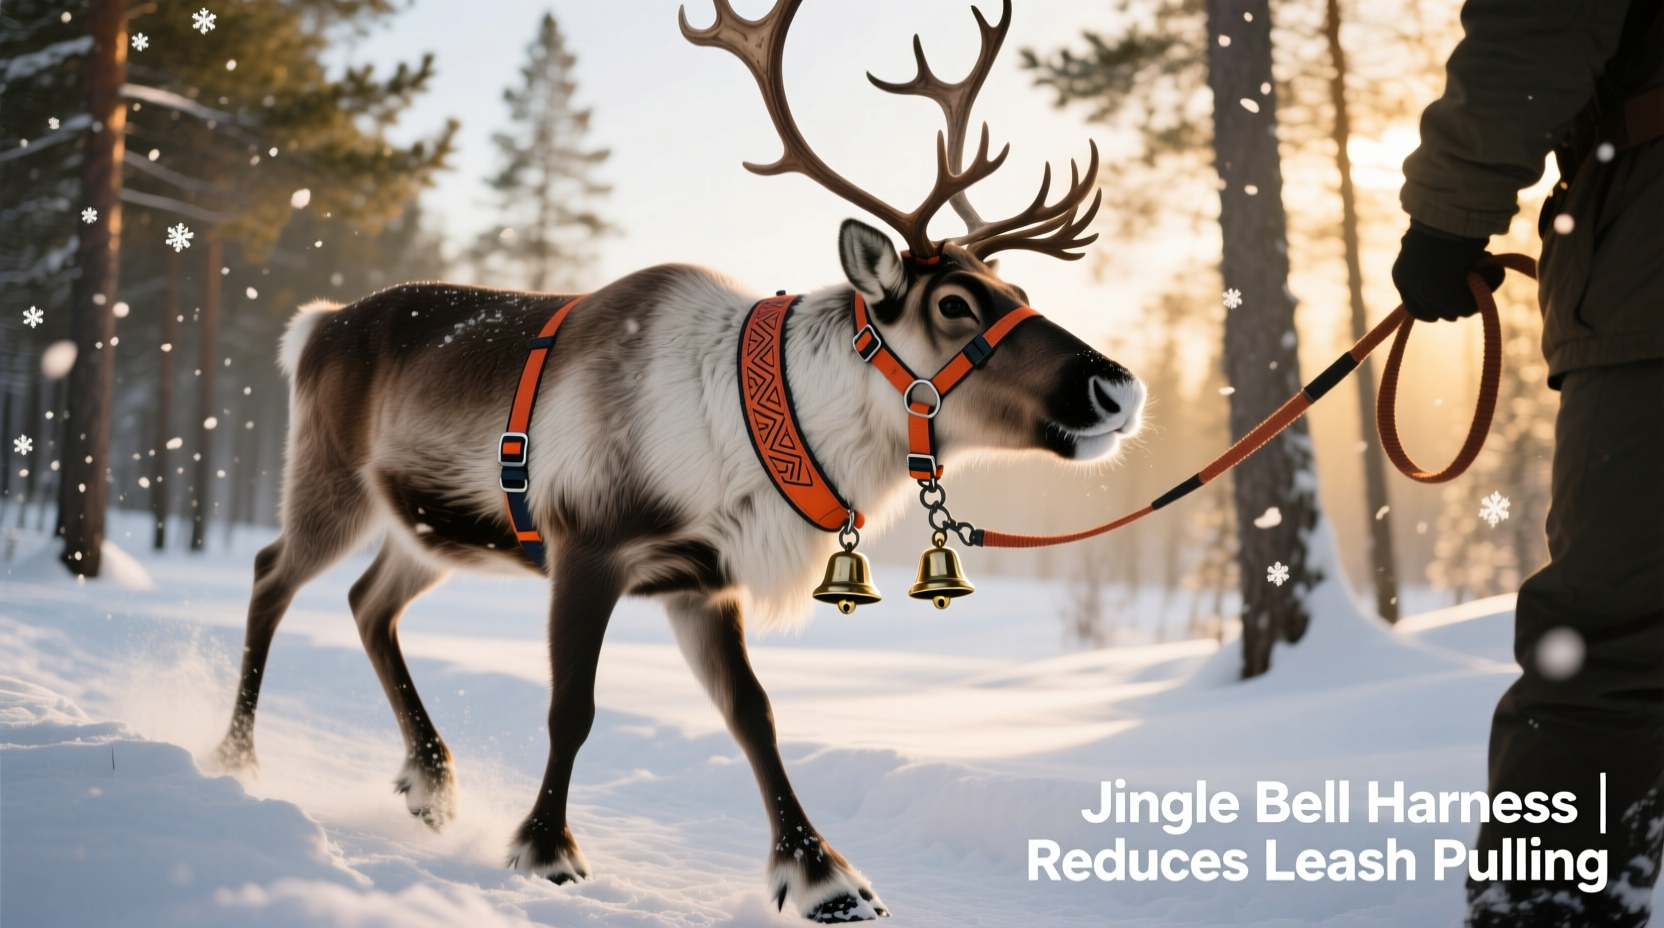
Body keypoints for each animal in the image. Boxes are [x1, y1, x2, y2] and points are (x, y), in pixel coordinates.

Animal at [209, 0, 1145, 921]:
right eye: (954, 303)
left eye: (1019, 293)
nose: (1118, 386)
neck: (753, 431)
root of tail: (314, 325)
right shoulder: (587, 545)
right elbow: (572, 708)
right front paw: (545, 849)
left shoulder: (703, 581)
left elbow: (753, 713)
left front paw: (824, 877)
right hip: (330, 482)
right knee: (271, 575)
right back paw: (236, 757)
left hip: (431, 529)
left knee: (368, 603)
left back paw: (430, 782)